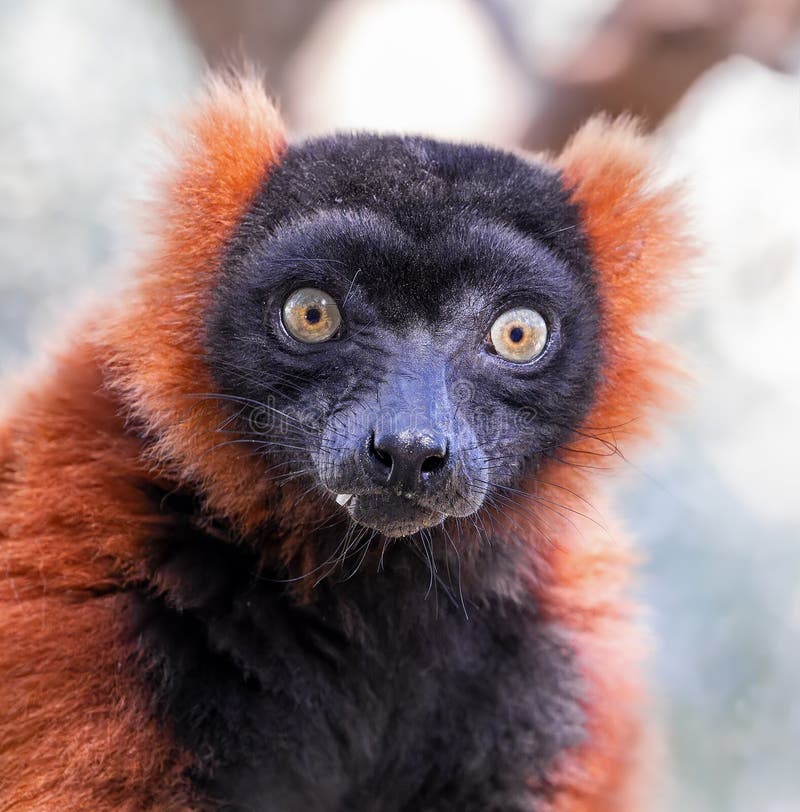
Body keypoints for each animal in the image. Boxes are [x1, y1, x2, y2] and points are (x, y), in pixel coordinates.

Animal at [0, 74, 688, 811]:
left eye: (517, 333)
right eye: (312, 314)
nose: (411, 449)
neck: (368, 583)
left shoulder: (548, 673)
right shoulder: (93, 607)